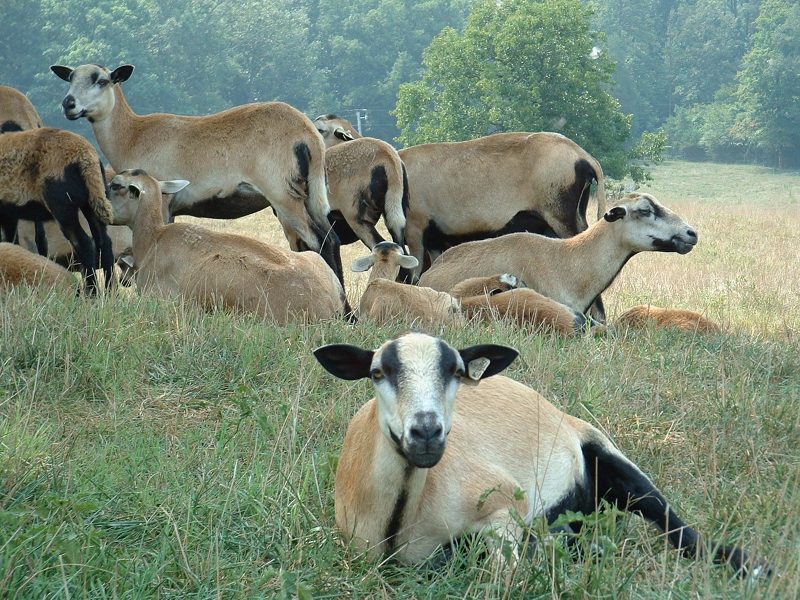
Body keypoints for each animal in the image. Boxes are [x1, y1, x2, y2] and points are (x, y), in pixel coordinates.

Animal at [0, 127, 114, 294]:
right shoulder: (9, 215)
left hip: (62, 205)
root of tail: (87, 158)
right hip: (93, 200)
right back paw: (111, 291)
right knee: (104, 243)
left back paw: (91, 293)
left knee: (84, 243)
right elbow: (12, 240)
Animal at [50, 64, 346, 291]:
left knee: (318, 241)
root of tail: (308, 135)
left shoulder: (163, 200)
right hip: (310, 194)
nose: (68, 104)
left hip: (283, 193)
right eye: (70, 78)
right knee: (331, 239)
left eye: (101, 81)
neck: (132, 134)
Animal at [313, 332, 768, 577]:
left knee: (675, 524)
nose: (426, 432)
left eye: (456, 371)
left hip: (608, 455)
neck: (401, 518)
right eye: (377, 372)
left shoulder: (504, 503)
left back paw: (749, 564)